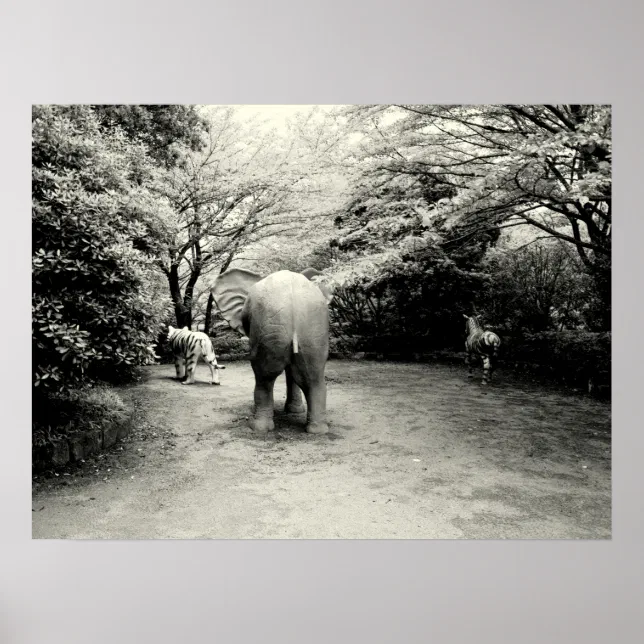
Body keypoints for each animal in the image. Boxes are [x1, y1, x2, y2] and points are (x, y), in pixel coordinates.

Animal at [212, 267, 334, 434]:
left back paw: (258, 427)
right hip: (311, 329)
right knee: (312, 377)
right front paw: (294, 411)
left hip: (270, 327)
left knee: (265, 376)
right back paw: (317, 430)